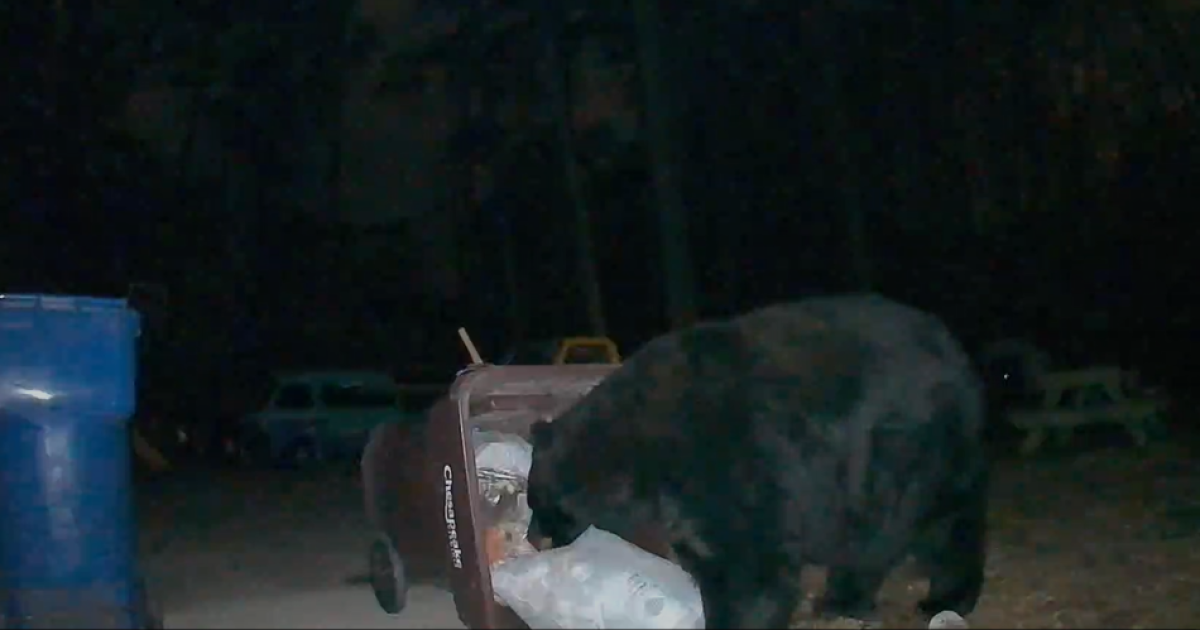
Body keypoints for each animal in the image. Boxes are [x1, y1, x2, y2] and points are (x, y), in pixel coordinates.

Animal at [525, 293, 989, 629]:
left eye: (538, 503)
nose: (532, 538)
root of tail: (956, 352)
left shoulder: (738, 463)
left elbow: (752, 569)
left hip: (910, 453)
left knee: (929, 525)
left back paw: (940, 596)